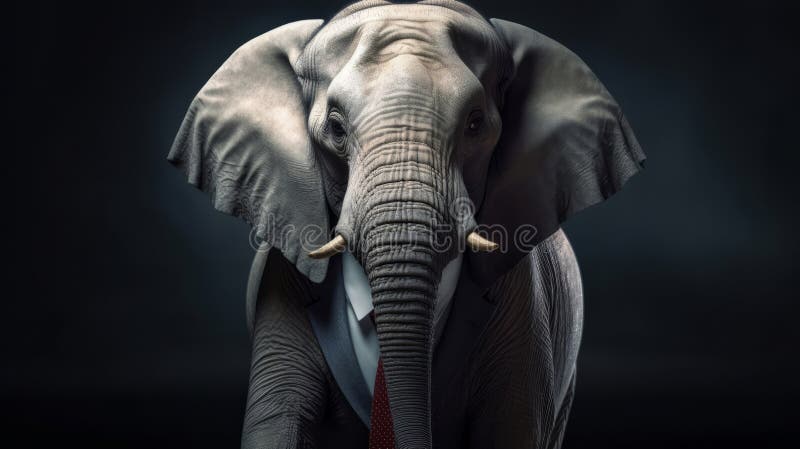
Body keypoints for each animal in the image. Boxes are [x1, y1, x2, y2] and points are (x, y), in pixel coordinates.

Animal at [168, 1, 645, 448]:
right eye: (336, 128)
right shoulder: (282, 294)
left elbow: (514, 431)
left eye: (476, 125)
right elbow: (276, 422)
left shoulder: (526, 312)